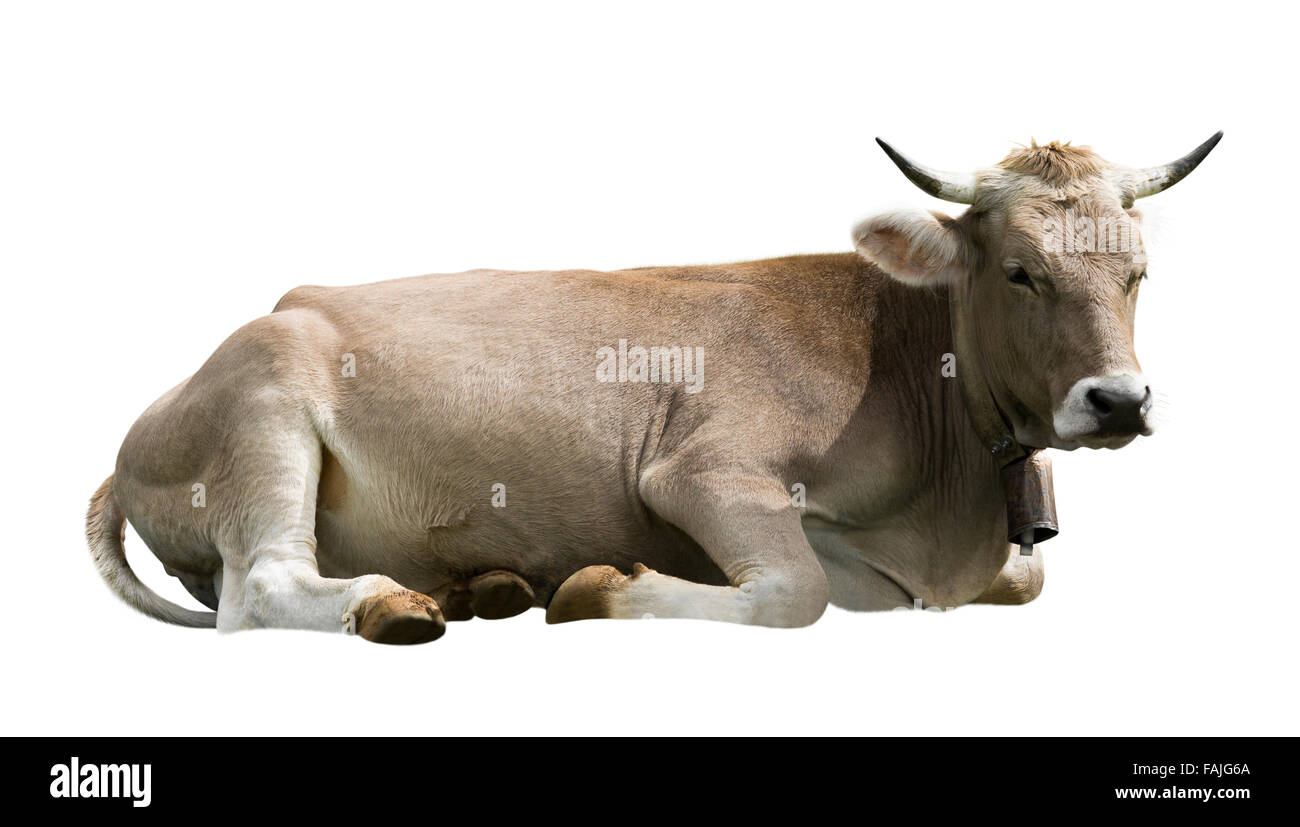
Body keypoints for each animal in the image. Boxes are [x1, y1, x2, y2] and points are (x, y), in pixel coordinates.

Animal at [86, 134, 1221, 643]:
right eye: (1020, 270)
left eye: (1136, 272)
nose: (1118, 401)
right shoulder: (701, 471)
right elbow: (795, 591)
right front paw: (599, 585)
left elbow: (1019, 578)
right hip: (263, 407)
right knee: (259, 590)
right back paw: (398, 603)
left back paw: (483, 587)